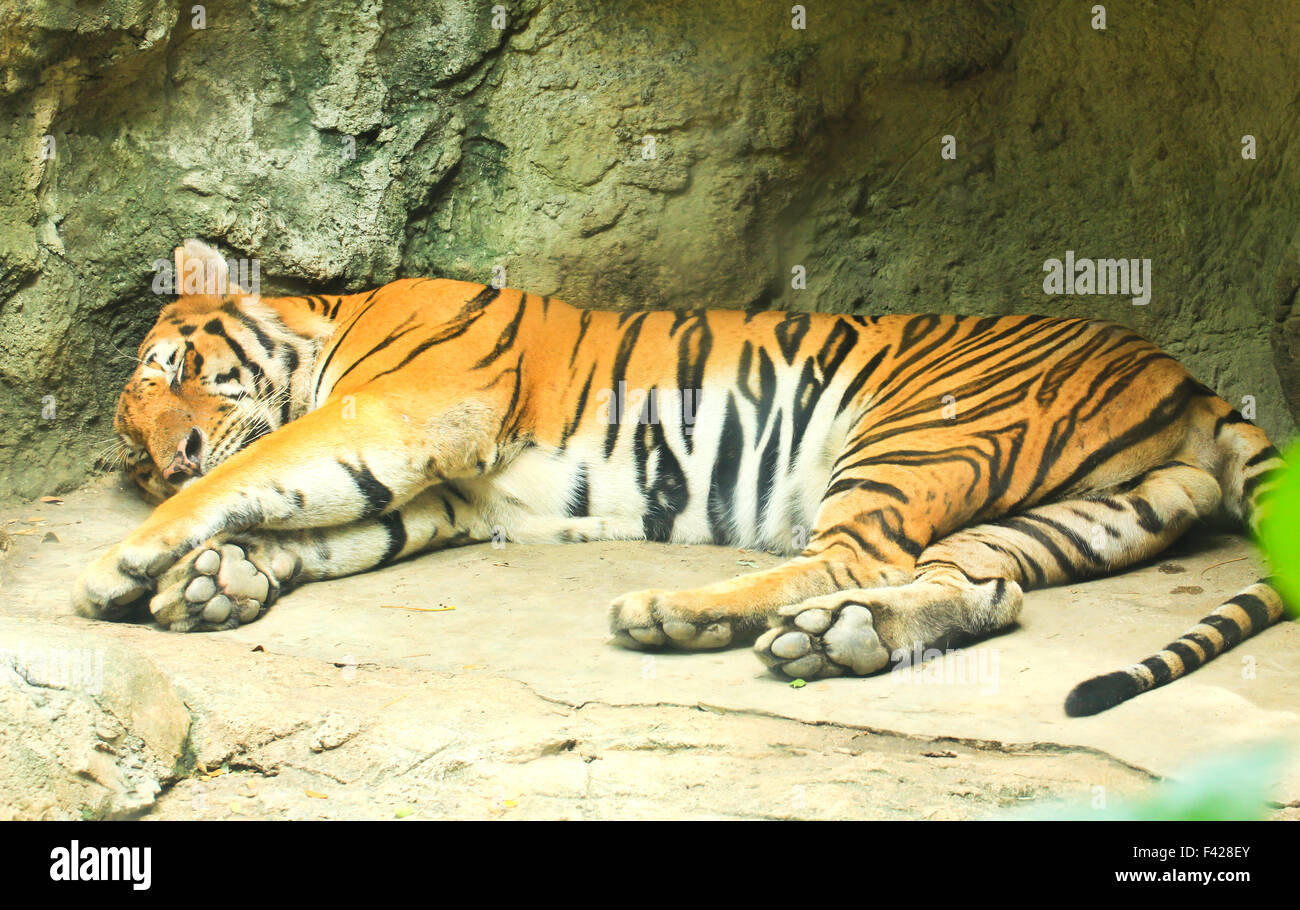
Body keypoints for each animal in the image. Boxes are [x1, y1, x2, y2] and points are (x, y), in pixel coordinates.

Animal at [74, 239, 1290, 716]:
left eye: (178, 374)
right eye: (133, 447)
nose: (168, 457)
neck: (332, 325)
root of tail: (1180, 373)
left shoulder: (408, 416)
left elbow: (262, 474)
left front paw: (118, 568)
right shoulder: (444, 496)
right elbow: (317, 528)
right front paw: (213, 581)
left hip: (911, 435)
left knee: (846, 555)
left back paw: (674, 612)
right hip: (1068, 513)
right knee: (976, 588)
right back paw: (837, 642)